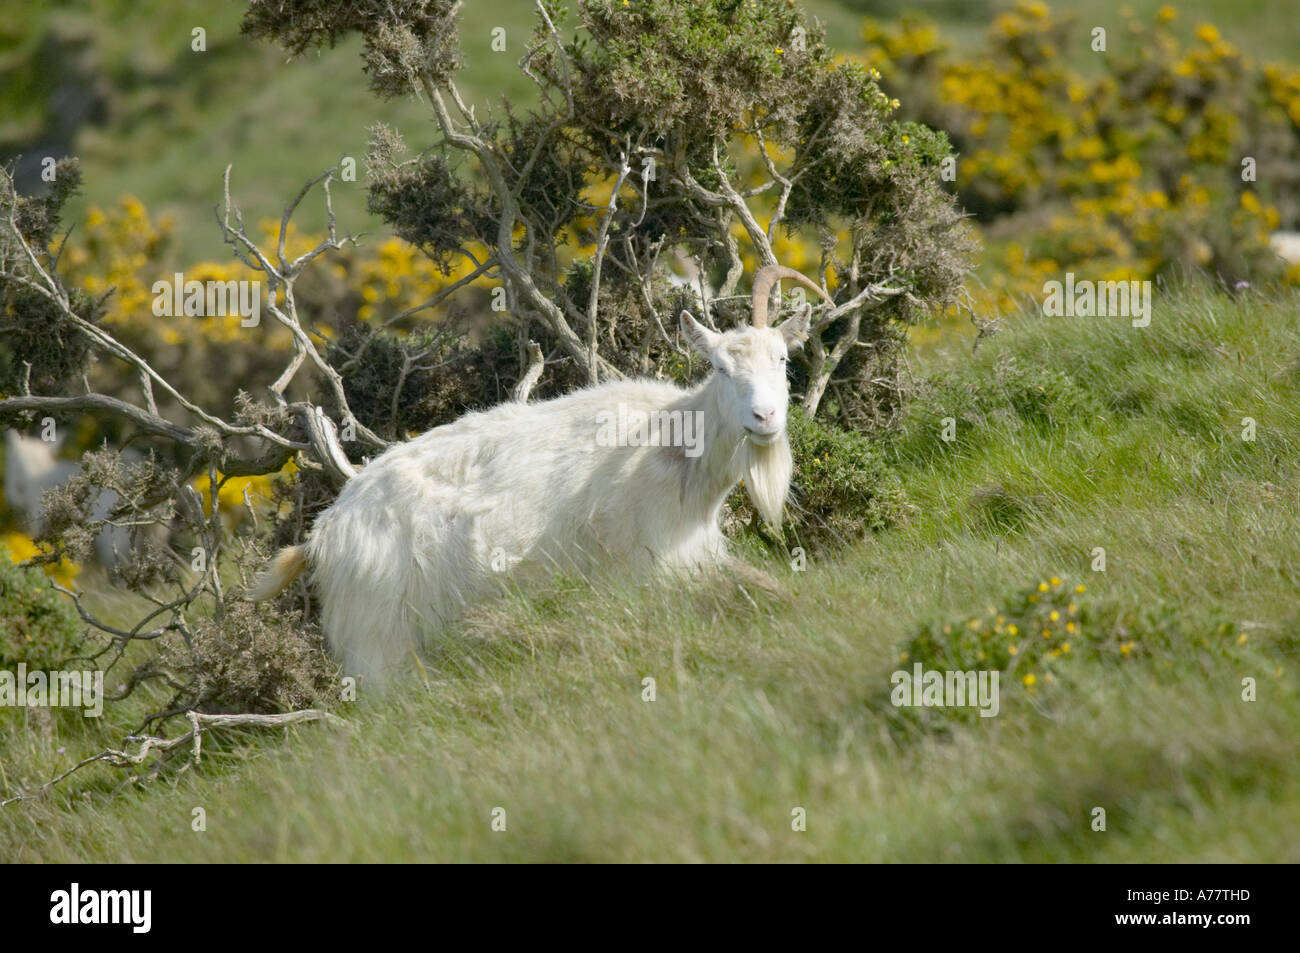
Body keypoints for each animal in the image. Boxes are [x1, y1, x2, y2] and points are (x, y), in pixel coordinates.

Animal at [248, 264, 830, 681]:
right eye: (720, 368)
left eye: (782, 359)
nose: (765, 418)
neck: (671, 445)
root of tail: (323, 533)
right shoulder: (641, 576)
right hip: (377, 644)